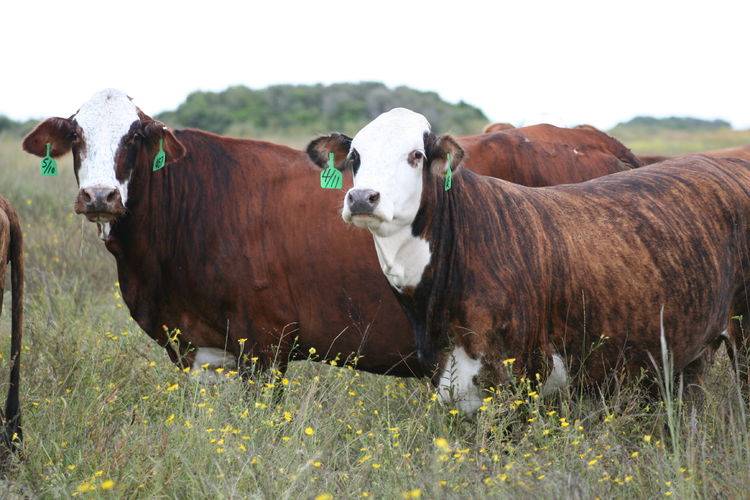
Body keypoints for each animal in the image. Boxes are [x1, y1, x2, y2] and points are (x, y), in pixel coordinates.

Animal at [22, 89, 638, 383]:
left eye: (135, 136)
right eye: (77, 135)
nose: (100, 196)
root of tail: (601, 142)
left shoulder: (263, 346)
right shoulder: (201, 348)